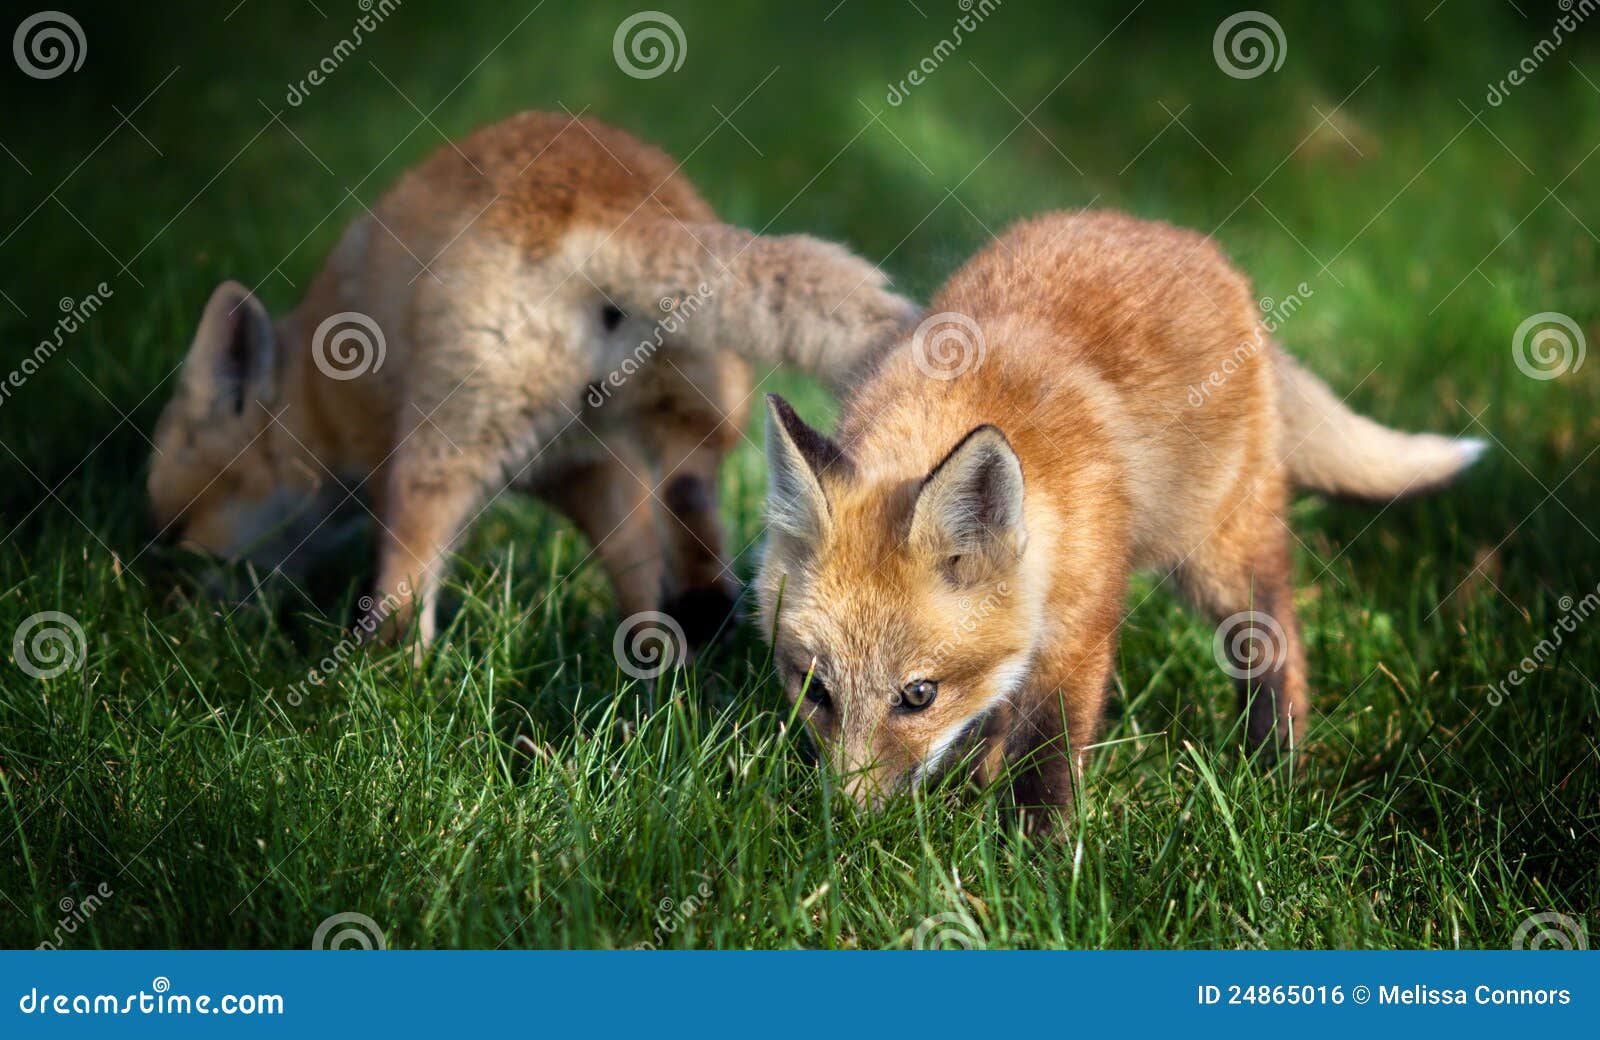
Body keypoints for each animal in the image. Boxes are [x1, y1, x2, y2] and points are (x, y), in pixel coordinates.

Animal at [147, 111, 917, 649]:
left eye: (179, 524)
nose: (171, 605)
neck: (317, 394)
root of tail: (608, 199)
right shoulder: (584, 467)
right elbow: (637, 563)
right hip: (685, 412)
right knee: (687, 512)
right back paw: (677, 659)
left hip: (448, 446)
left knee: (409, 581)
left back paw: (387, 677)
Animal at [755, 209, 1485, 825]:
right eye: (813, 688)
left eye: (918, 695)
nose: (852, 824)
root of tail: (1175, 235)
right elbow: (996, 724)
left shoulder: (1080, 629)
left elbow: (1046, 764)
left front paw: (1037, 866)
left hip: (1217, 554)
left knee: (1276, 634)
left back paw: (1273, 764)